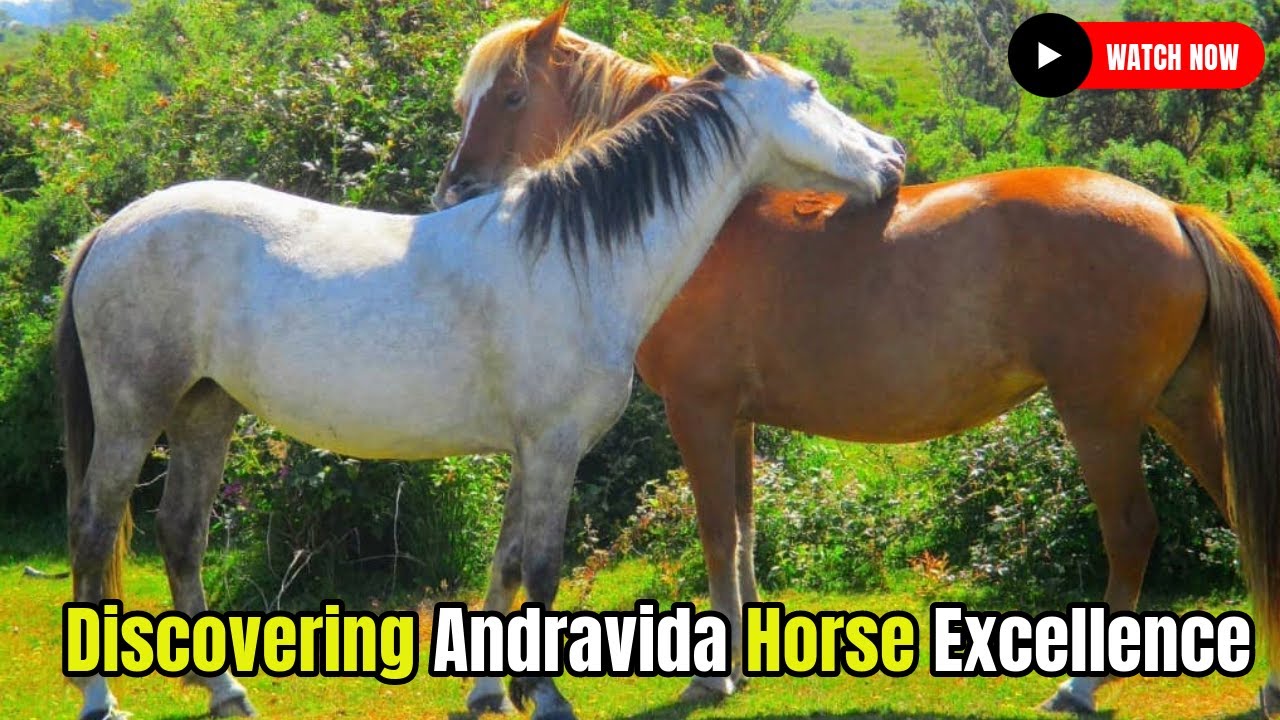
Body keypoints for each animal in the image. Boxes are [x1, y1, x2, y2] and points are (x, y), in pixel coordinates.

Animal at [56, 41, 904, 720]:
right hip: (135, 412)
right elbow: (545, 567)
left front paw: (492, 693)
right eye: (808, 90)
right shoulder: (555, 447)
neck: (576, 259)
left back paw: (228, 692)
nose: (893, 158)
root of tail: (111, 229)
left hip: (205, 410)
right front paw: (548, 696)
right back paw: (103, 698)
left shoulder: (528, 452)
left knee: (180, 534)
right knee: (95, 532)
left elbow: (507, 562)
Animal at [435, 6, 1280, 715]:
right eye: (460, 106)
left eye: (510, 96)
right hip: (1179, 404)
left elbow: (715, 533)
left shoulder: (698, 411)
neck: (713, 215)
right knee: (1245, 511)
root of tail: (1171, 210)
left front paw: (712, 675)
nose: (456, 193)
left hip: (1100, 415)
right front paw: (741, 662)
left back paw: (1079, 685)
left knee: (1132, 530)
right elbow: (744, 530)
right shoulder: (736, 420)